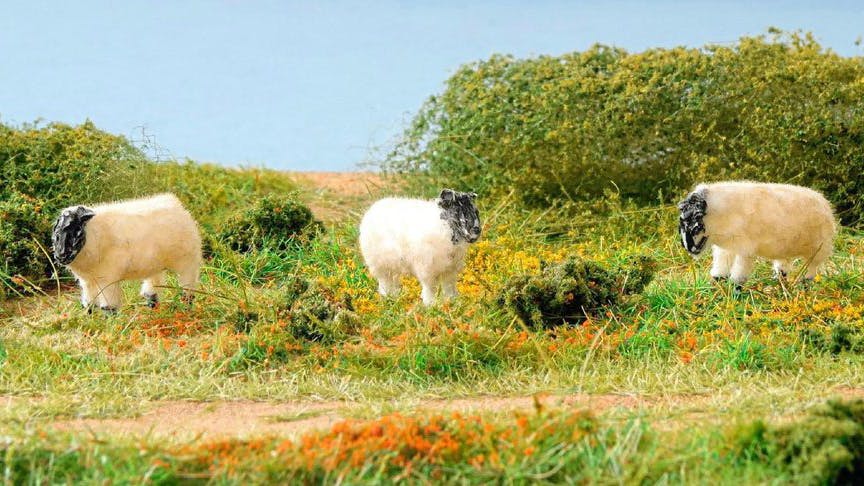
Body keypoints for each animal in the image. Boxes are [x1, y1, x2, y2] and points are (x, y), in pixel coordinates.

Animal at [52, 193, 202, 312]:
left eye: (77, 231)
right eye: (57, 232)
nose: (61, 256)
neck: (95, 234)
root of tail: (175, 203)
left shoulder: (108, 279)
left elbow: (108, 307)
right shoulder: (87, 281)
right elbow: (88, 305)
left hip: (188, 261)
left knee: (188, 289)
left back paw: (186, 309)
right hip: (155, 264)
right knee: (153, 287)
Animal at [678, 181, 836, 286]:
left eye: (697, 226)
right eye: (681, 225)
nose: (689, 248)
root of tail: (824, 202)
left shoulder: (745, 250)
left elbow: (738, 276)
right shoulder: (726, 248)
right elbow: (720, 269)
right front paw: (716, 286)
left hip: (818, 250)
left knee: (811, 269)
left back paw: (804, 284)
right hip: (785, 250)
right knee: (783, 267)